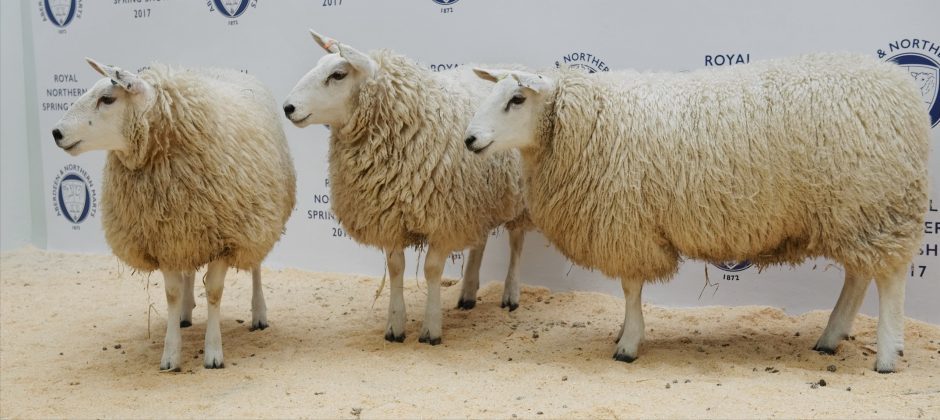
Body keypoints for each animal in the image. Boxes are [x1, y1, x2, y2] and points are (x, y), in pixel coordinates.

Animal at [51, 58, 296, 370]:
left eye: (107, 99)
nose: (56, 133)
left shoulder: (226, 238)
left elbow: (214, 293)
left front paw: (213, 352)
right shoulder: (164, 238)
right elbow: (172, 294)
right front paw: (170, 354)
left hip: (257, 221)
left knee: (255, 267)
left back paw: (259, 313)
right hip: (188, 232)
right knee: (188, 270)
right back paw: (185, 314)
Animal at [282, 31, 529, 345]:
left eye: (338, 74)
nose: (288, 108)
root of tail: (510, 67)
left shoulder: (444, 217)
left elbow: (432, 270)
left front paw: (431, 329)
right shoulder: (389, 215)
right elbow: (396, 268)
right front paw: (395, 326)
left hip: (517, 196)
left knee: (516, 242)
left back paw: (511, 294)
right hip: (478, 199)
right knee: (480, 240)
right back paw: (468, 293)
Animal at [463, 53, 930, 373]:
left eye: (517, 99)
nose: (469, 139)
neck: (584, 125)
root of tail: (899, 86)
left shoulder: (630, 223)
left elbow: (631, 288)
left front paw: (628, 343)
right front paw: (625, 334)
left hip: (876, 204)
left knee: (889, 279)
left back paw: (887, 354)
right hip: (857, 213)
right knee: (859, 274)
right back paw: (830, 337)